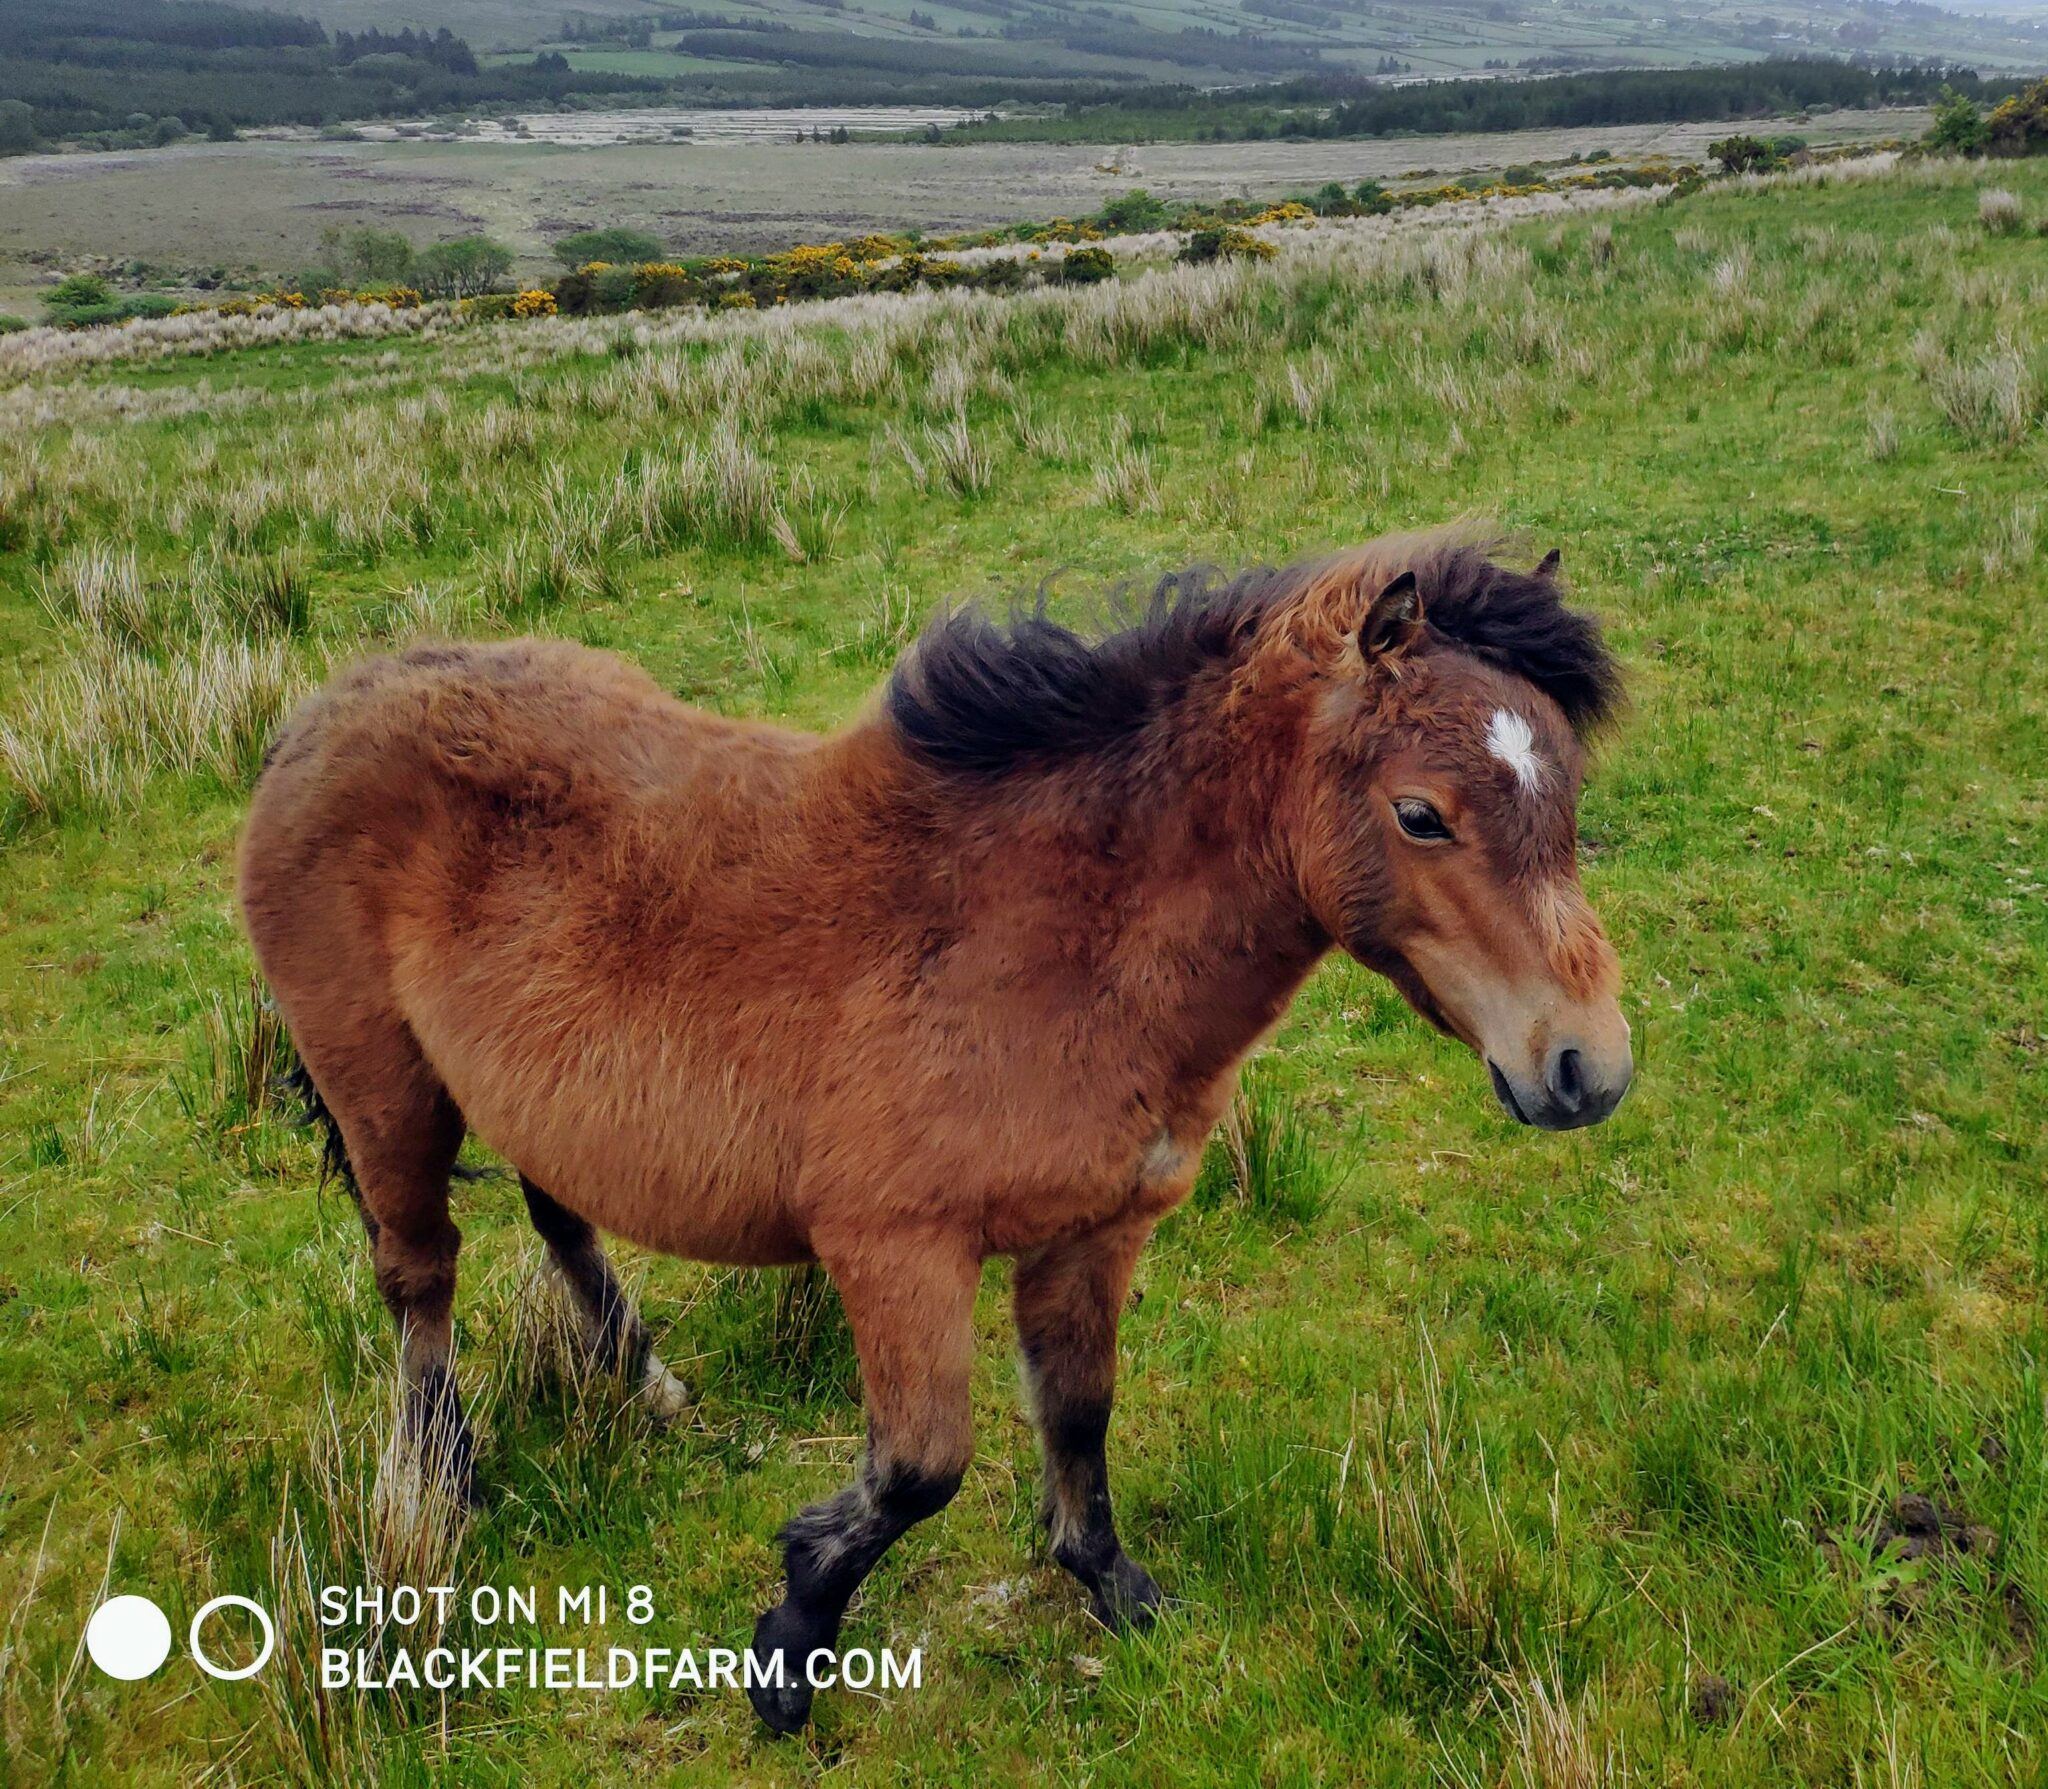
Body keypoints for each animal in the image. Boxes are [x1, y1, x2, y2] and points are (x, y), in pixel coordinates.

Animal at [237, 524, 1632, 1733]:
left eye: (1566, 790)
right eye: (1420, 813)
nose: (1585, 1067)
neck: (1038, 941)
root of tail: (319, 716)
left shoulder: (1094, 1232)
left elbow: (1077, 1412)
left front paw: (1110, 1583)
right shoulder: (892, 1249)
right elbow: (920, 1468)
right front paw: (791, 1638)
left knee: (555, 1214)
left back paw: (647, 1385)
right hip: (383, 1087)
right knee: (418, 1276)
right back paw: (434, 1480)